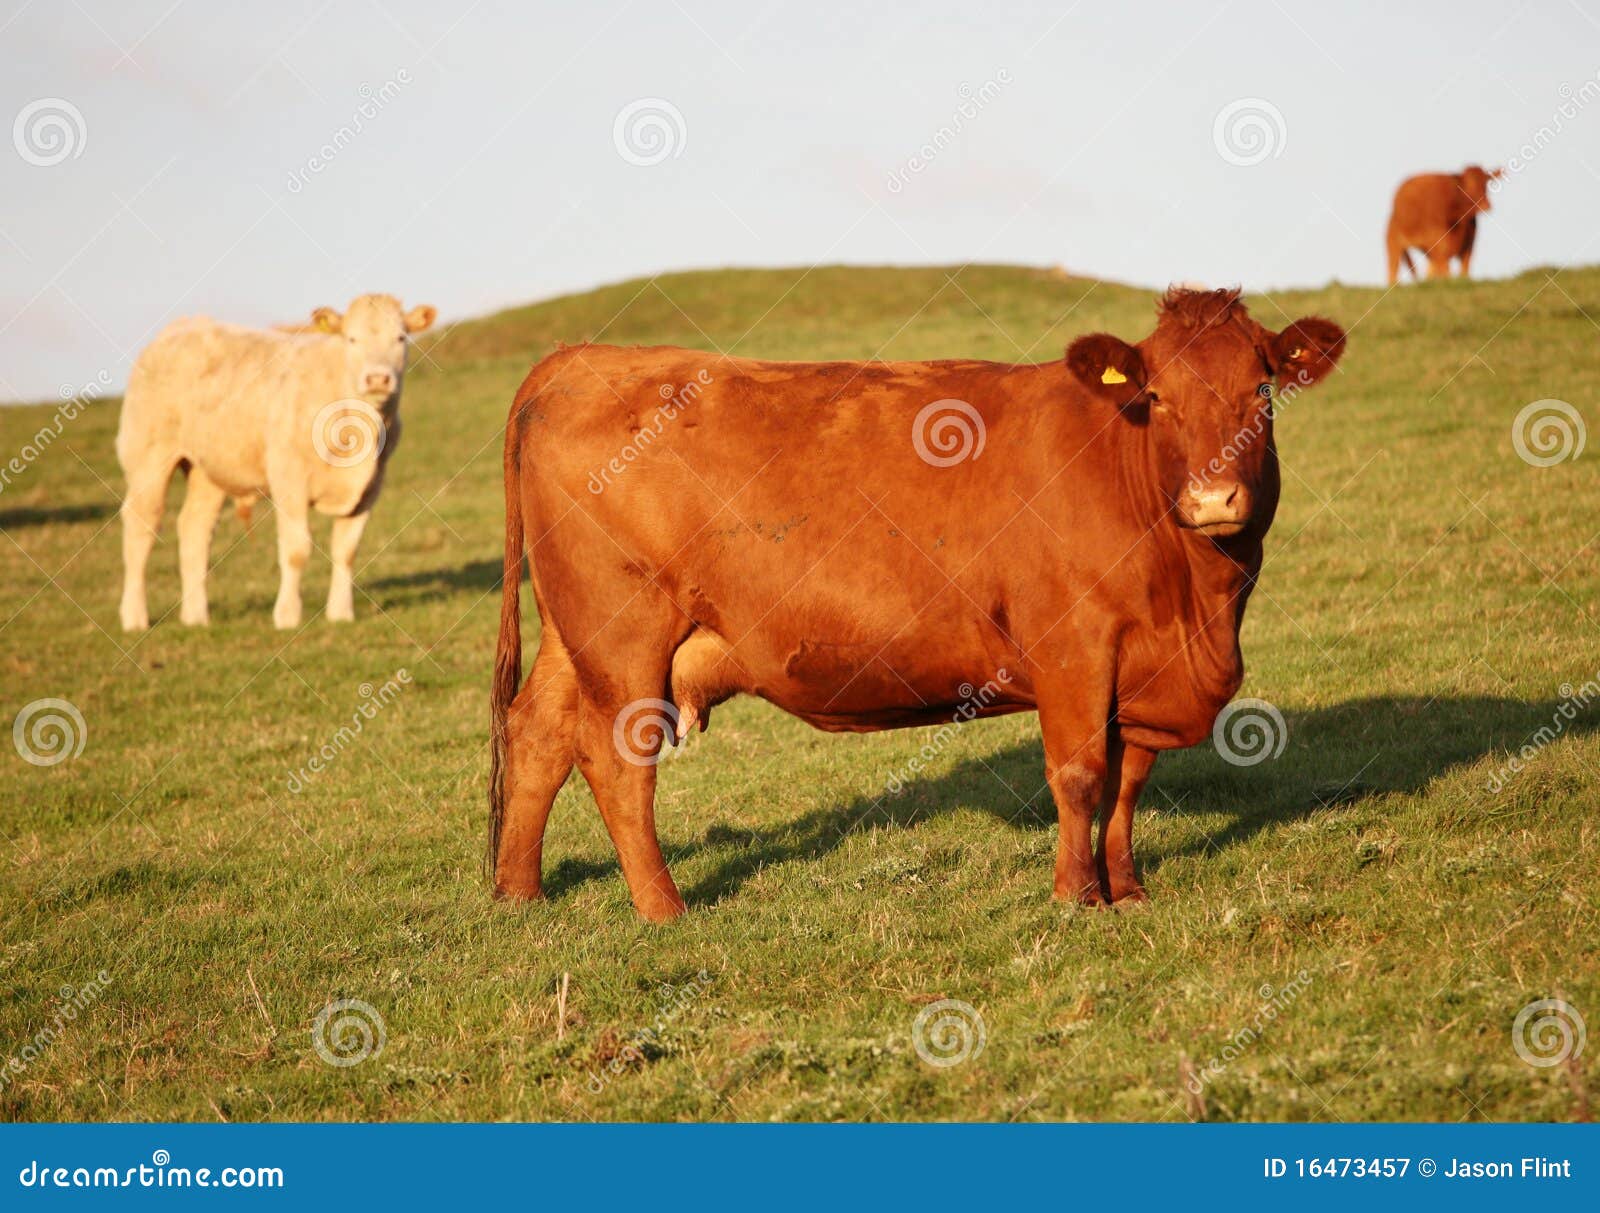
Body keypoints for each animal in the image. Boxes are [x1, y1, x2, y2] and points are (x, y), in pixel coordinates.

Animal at [116, 293, 436, 631]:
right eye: (351, 338)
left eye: (400, 338)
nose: (377, 378)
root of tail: (181, 326)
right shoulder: (289, 479)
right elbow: (296, 550)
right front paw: (287, 616)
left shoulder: (370, 487)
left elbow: (347, 550)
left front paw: (340, 613)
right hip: (148, 456)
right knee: (141, 526)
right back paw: (134, 617)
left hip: (208, 467)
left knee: (195, 529)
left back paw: (196, 616)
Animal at [488, 288, 1347, 921]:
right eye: (1158, 396)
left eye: (1261, 390)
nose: (1213, 498)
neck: (1195, 603)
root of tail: (580, 358)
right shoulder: (1075, 648)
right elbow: (1079, 774)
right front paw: (1076, 896)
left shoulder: (1140, 672)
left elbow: (1129, 779)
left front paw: (1128, 888)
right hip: (622, 636)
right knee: (615, 758)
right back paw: (663, 907)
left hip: (575, 636)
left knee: (538, 731)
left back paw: (519, 894)